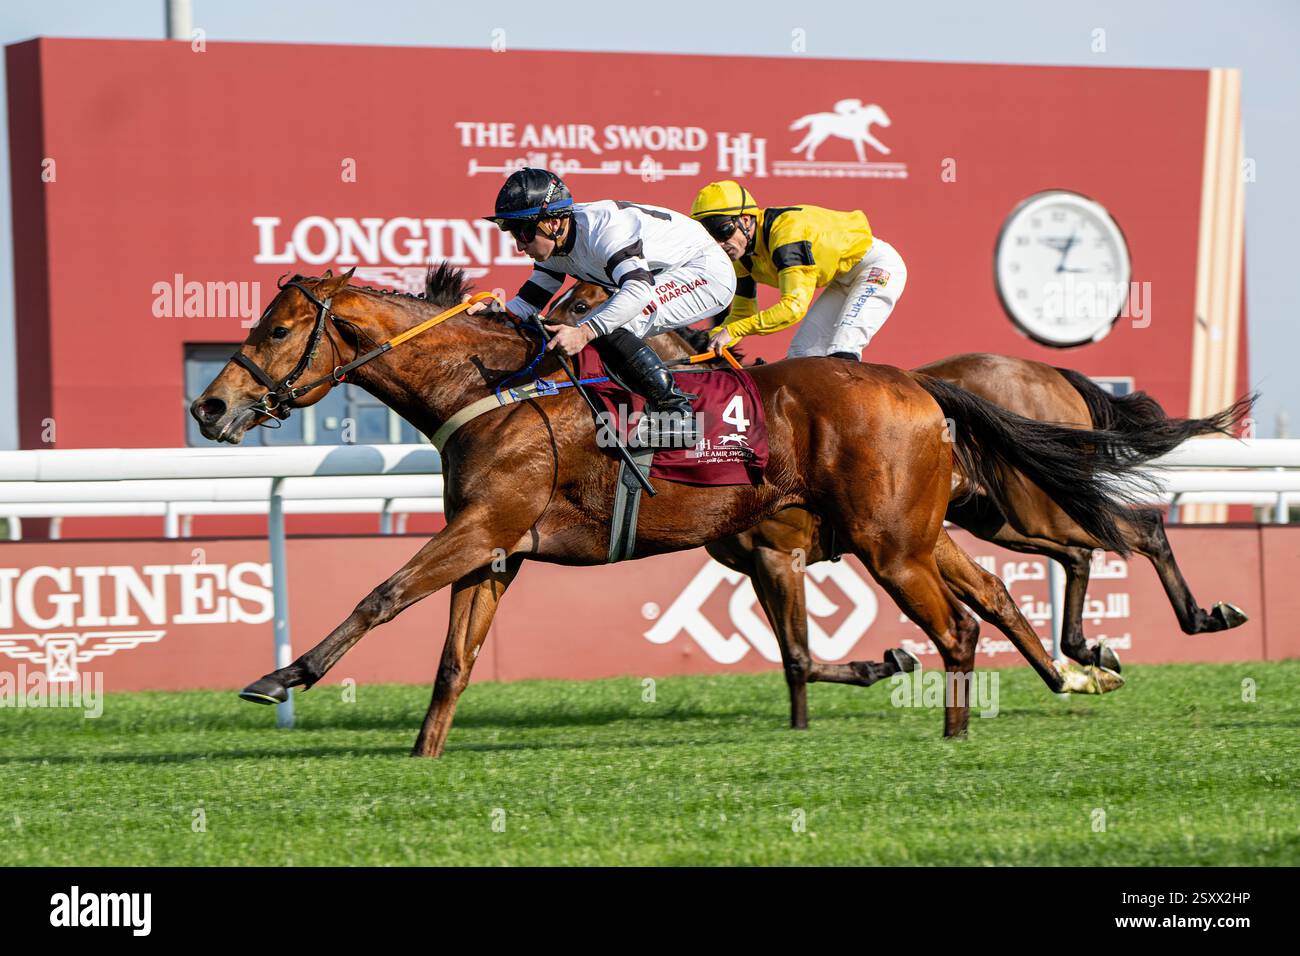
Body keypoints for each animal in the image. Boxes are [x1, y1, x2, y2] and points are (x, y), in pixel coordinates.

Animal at [190, 265, 1147, 756]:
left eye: (278, 330)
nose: (209, 408)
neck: (491, 388)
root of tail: (918, 385)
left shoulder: (484, 527)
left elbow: (380, 596)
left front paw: (282, 675)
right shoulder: (496, 548)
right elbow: (453, 663)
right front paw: (423, 757)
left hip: (891, 542)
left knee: (960, 624)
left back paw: (958, 734)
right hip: (911, 532)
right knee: (991, 595)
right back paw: (1071, 673)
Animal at [548, 281, 1252, 729]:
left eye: (580, 304)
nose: (544, 341)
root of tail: (1053, 372)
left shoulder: (780, 552)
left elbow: (798, 655)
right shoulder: (765, 563)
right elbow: (796, 657)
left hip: (1027, 504)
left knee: (1135, 528)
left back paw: (1192, 620)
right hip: (986, 517)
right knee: (1041, 571)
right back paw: (1080, 663)